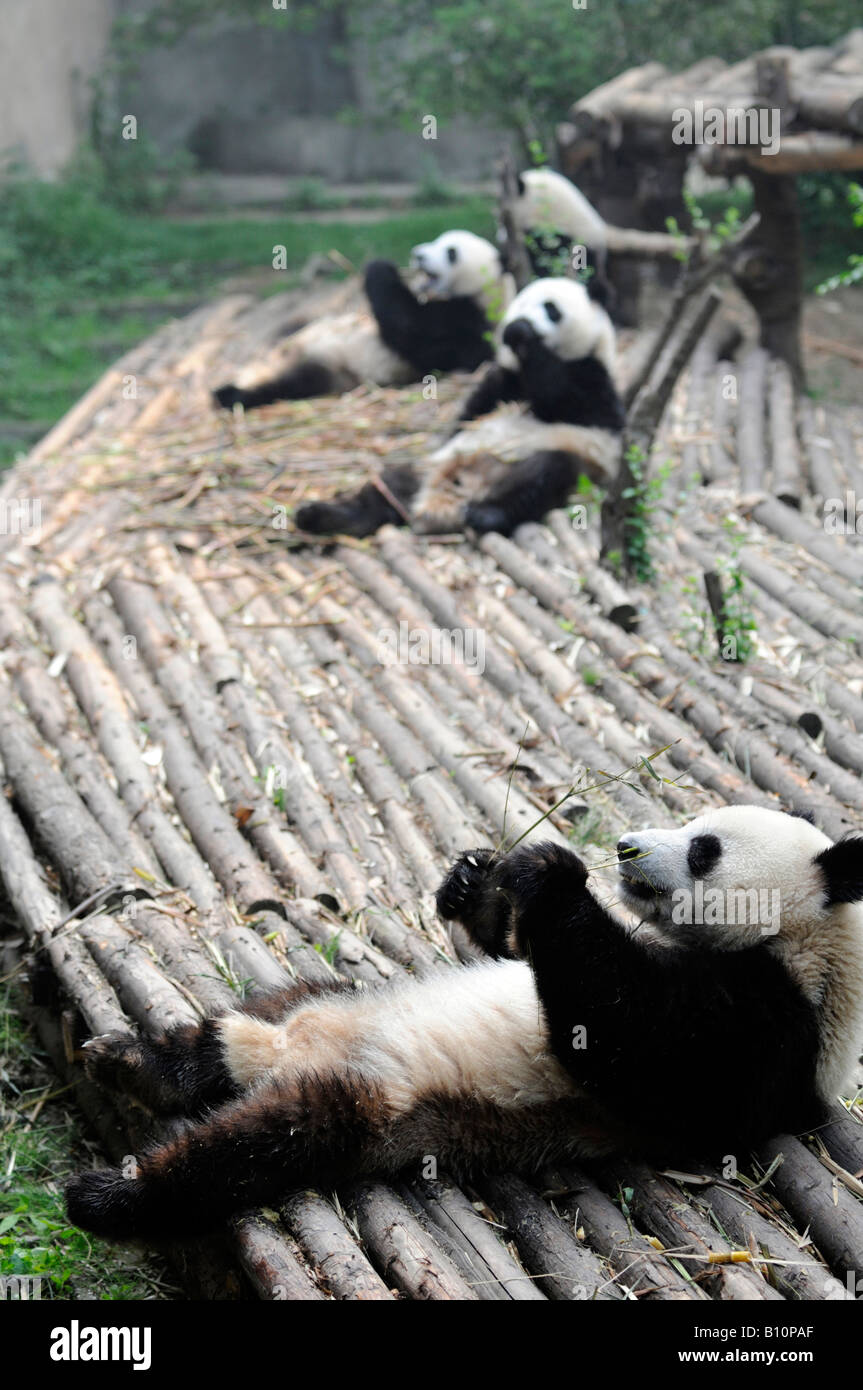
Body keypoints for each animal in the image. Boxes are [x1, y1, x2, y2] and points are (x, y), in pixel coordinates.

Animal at [65, 805, 863, 1241]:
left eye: (704, 849)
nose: (625, 847)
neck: (810, 943)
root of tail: (287, 1056)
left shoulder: (772, 1033)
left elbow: (634, 1039)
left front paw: (550, 870)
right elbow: (514, 954)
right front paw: (474, 881)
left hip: (376, 1105)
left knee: (261, 1144)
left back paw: (114, 1193)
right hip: (334, 1000)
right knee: (258, 1014)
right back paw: (142, 1063)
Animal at [212, 230, 510, 411]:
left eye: (451, 252)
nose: (418, 254)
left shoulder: (467, 320)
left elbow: (412, 331)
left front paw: (380, 266)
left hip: (331, 369)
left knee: (289, 385)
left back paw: (229, 394)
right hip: (301, 335)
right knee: (291, 329)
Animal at [294, 276, 624, 540]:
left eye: (551, 308)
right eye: (520, 304)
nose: (522, 323)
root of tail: (441, 503)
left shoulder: (594, 383)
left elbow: (564, 395)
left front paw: (522, 337)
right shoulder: (500, 384)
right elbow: (473, 412)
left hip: (548, 464)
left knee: (547, 476)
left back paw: (487, 514)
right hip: (423, 472)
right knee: (386, 489)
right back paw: (322, 516)